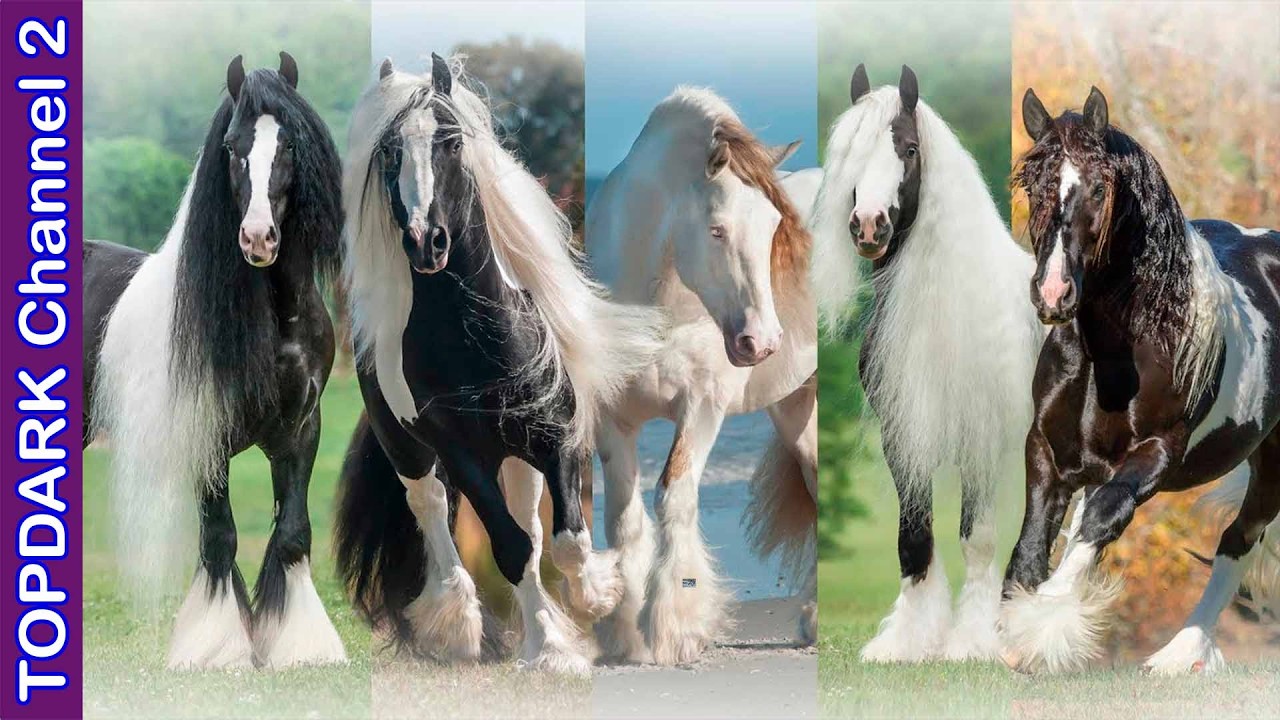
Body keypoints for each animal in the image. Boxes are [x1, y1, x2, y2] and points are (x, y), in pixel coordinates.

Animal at [84, 53, 347, 670]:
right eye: (232, 146)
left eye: (290, 144)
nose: (258, 239)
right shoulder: (206, 434)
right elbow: (220, 536)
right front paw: (216, 646)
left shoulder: (301, 429)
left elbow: (293, 531)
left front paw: (296, 645)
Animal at [332, 54, 665, 675]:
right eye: (389, 152)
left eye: (451, 141)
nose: (426, 242)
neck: (473, 338)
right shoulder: (462, 454)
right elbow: (511, 549)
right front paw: (552, 647)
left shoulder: (555, 438)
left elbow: (566, 542)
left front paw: (597, 601)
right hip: (411, 450)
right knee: (432, 508)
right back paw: (460, 627)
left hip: (516, 456)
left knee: (531, 523)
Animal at [586, 86, 819, 665]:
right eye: (718, 229)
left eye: (774, 227)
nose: (762, 341)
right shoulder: (612, 420)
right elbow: (622, 517)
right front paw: (626, 634)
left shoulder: (701, 407)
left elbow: (675, 494)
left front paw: (676, 628)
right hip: (795, 409)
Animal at [811, 64, 1045, 663]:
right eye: (849, 152)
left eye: (909, 148)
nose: (869, 226)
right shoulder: (902, 432)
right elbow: (913, 535)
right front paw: (908, 640)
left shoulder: (981, 434)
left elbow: (978, 537)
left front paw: (973, 640)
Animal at [999, 86, 1280, 675]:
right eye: (1032, 184)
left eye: (1100, 187)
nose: (1053, 294)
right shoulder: (1048, 450)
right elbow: (1036, 542)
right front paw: (1016, 631)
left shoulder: (1157, 452)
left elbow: (1105, 515)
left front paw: (1042, 626)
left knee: (1238, 540)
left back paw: (1179, 656)